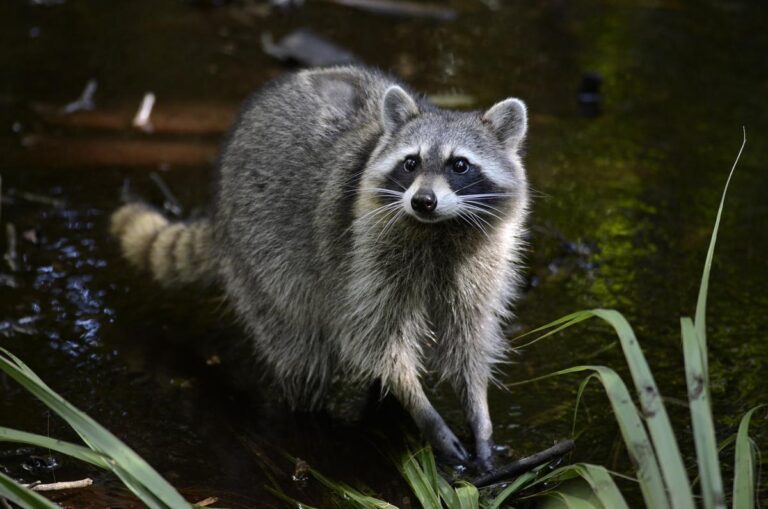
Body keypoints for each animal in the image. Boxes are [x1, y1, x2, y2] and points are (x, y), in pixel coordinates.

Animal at [110, 66, 529, 465]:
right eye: (411, 163)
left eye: (460, 165)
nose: (423, 201)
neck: (438, 229)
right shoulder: (363, 253)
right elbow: (373, 337)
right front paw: (421, 407)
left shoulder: (479, 262)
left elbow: (469, 336)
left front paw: (478, 410)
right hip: (261, 257)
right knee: (301, 349)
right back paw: (306, 419)